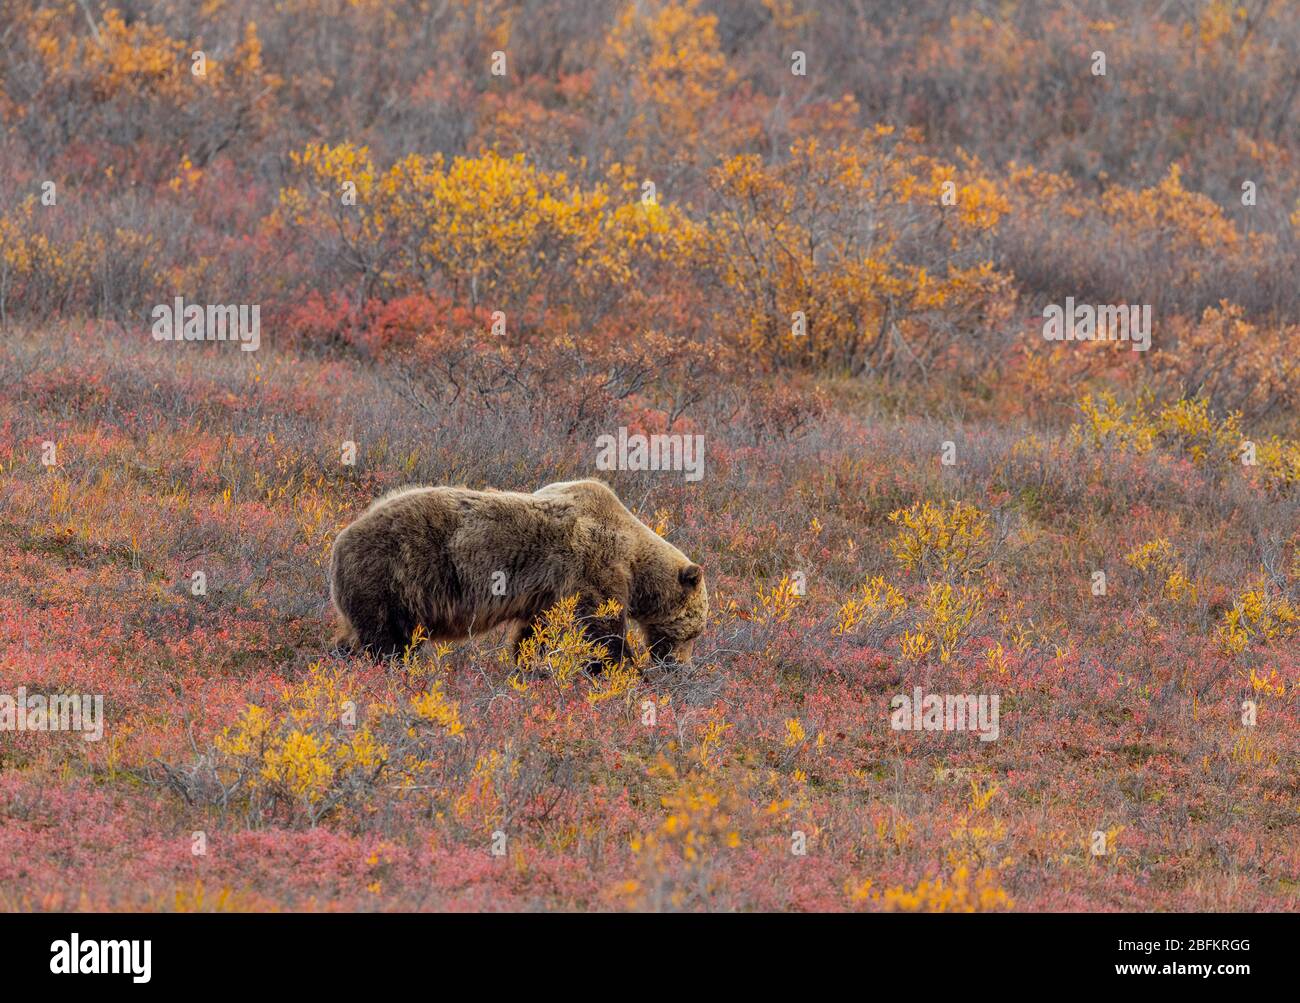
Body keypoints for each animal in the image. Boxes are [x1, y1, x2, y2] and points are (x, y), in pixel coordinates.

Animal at [328, 478, 708, 666]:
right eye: (694, 632)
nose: (678, 667)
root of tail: (339, 541)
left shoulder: (550, 596)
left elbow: (536, 632)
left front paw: (529, 665)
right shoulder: (595, 569)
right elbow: (602, 630)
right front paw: (625, 669)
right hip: (393, 576)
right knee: (387, 639)